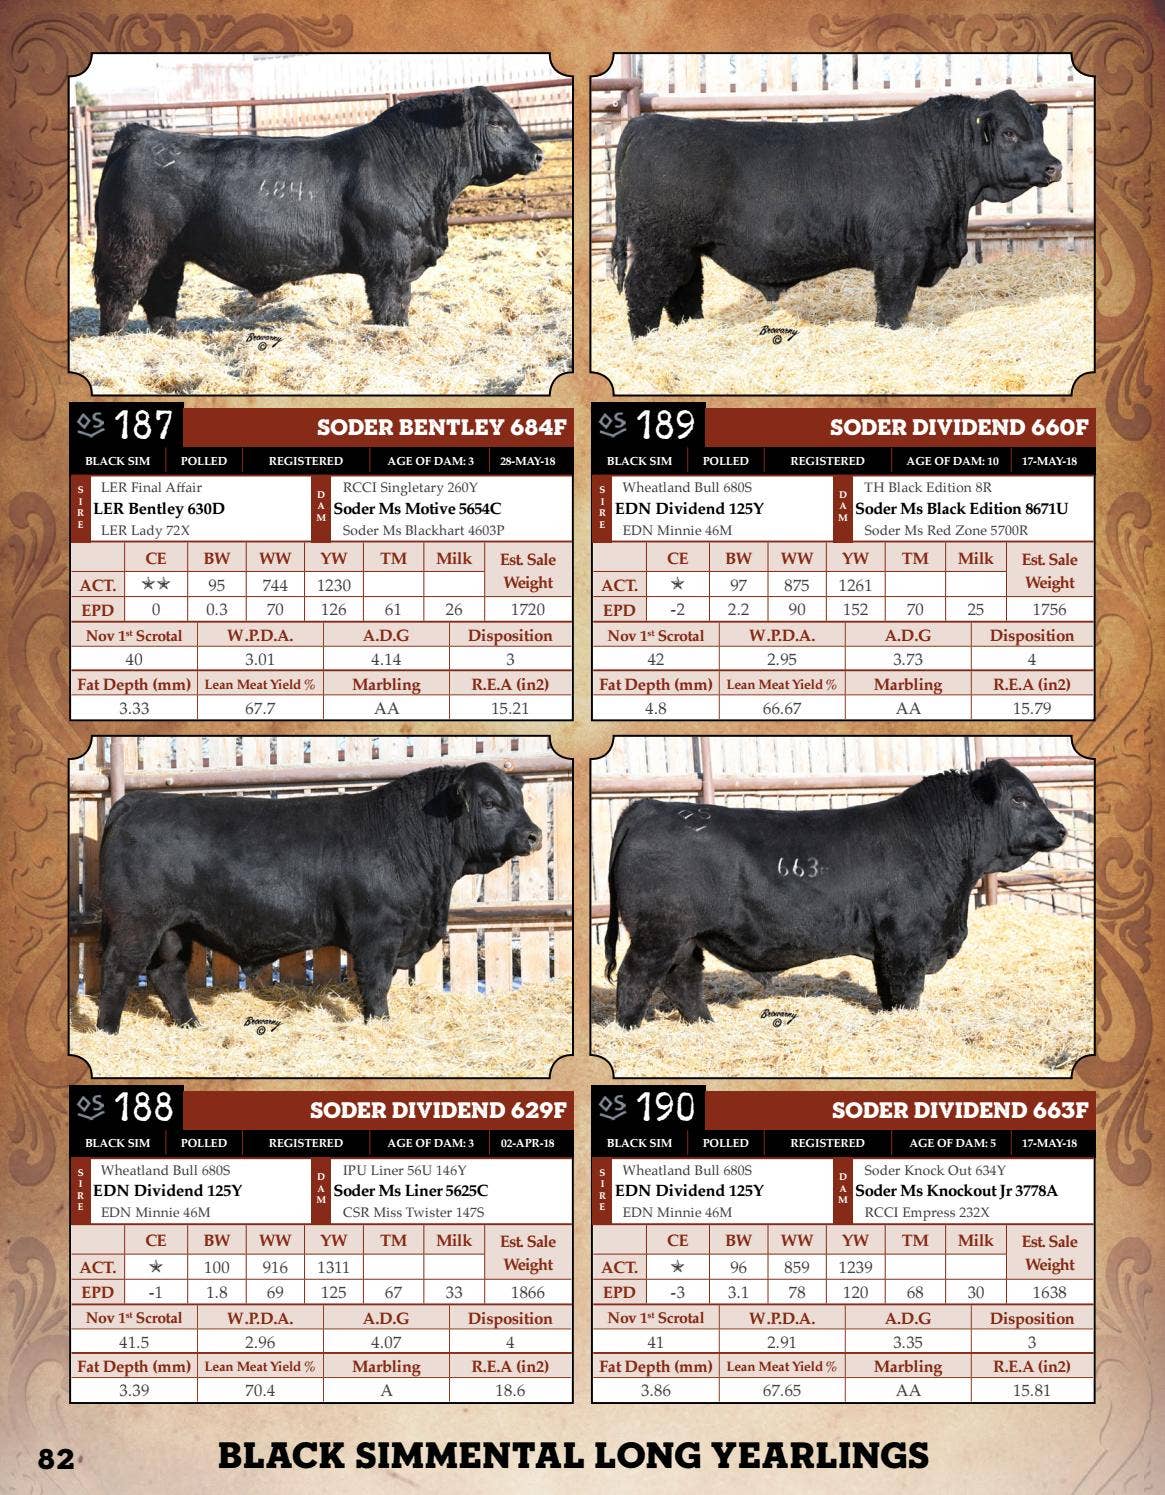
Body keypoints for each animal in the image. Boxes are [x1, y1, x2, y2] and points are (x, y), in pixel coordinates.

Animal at [93, 87, 543, 335]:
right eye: (498, 122)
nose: (537, 153)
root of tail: (140, 133)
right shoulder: (390, 260)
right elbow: (391, 306)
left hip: (168, 256)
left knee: (160, 299)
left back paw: (171, 337)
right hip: (130, 248)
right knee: (117, 299)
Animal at [94, 761, 542, 1034]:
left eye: (519, 799)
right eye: (490, 802)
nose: (534, 835)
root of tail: (136, 800)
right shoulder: (377, 931)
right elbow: (376, 982)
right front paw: (380, 1023)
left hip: (174, 927)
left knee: (167, 972)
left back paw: (191, 1024)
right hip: (138, 921)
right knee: (118, 969)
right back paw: (107, 1031)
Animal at [603, 759, 1067, 1028]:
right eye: (1020, 798)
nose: (1061, 830)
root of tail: (650, 806)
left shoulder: (886, 945)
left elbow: (887, 989)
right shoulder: (907, 939)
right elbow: (907, 990)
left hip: (683, 937)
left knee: (682, 978)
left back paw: (704, 1023)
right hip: (658, 933)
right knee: (635, 978)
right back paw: (629, 1029)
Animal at [611, 91, 1062, 335]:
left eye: (1039, 131)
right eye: (1009, 133)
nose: (1054, 166)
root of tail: (647, 124)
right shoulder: (902, 252)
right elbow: (894, 303)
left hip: (685, 249)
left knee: (683, 293)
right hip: (660, 245)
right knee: (643, 291)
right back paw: (645, 340)